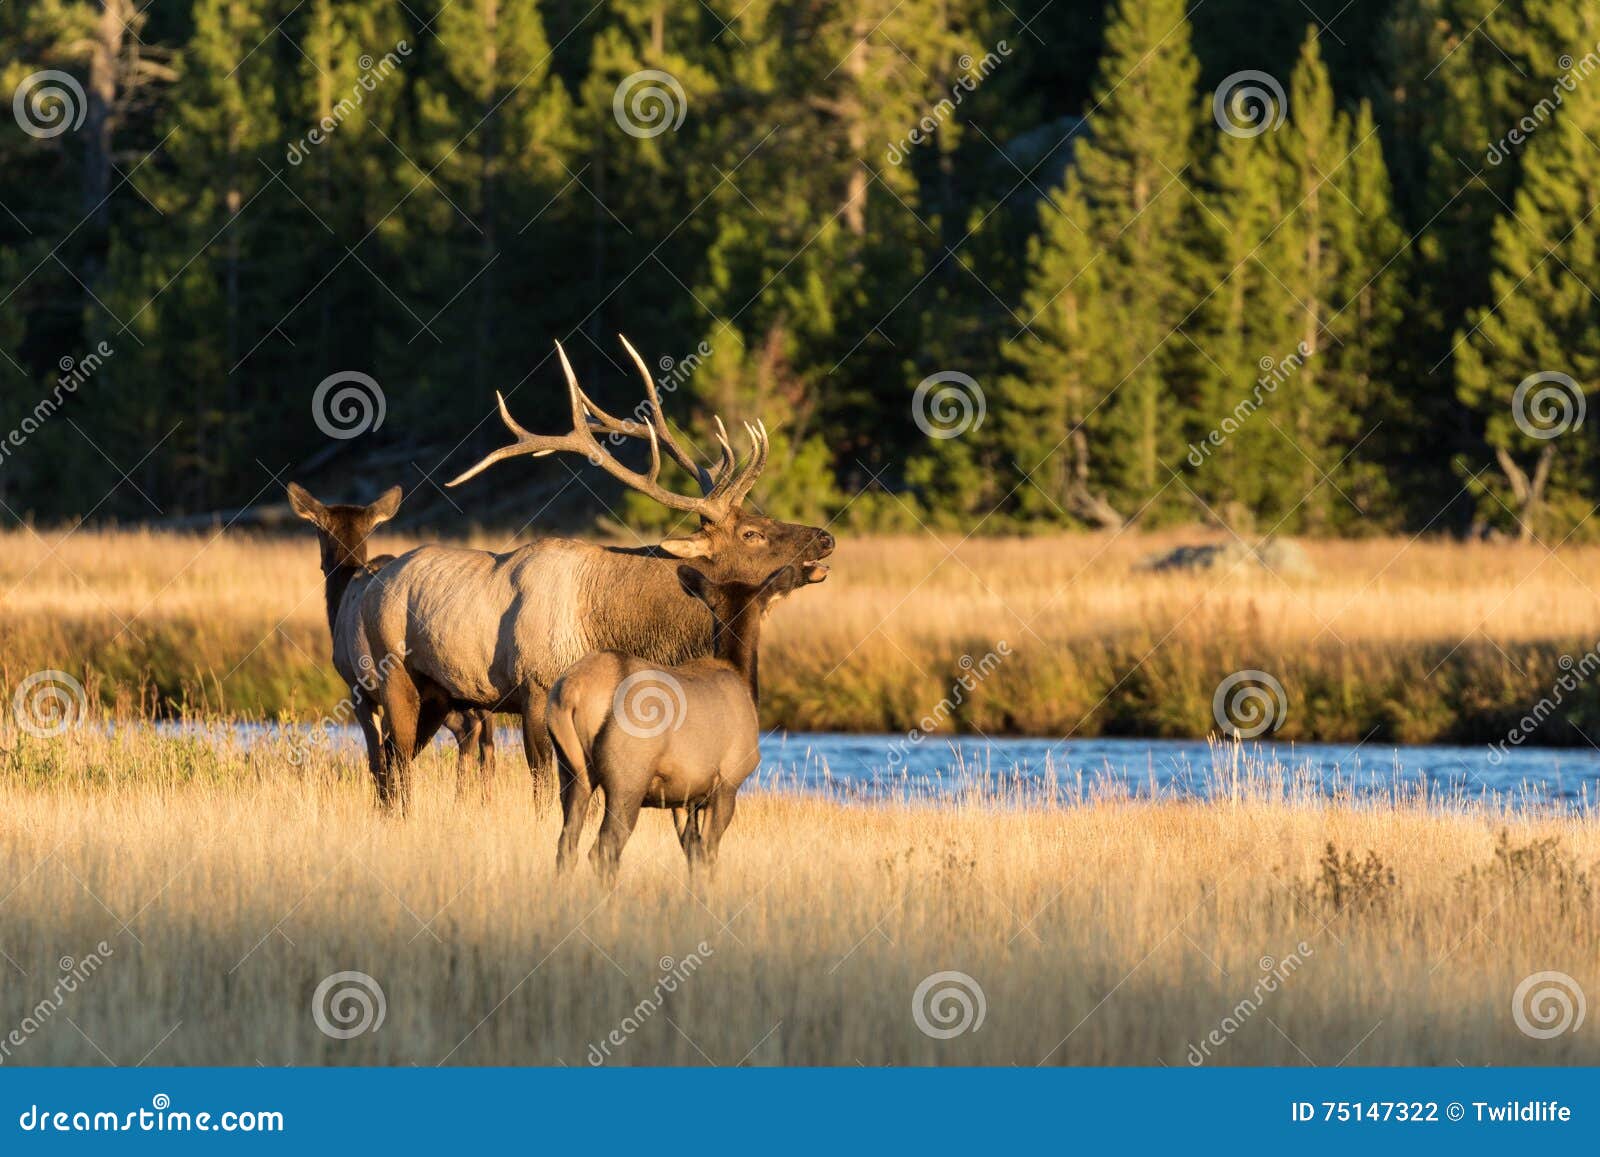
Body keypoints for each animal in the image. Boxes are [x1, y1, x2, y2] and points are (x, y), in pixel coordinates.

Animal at [286, 483, 496, 805]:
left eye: (317, 529)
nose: (321, 564)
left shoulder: (358, 686)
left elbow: (377, 756)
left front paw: (384, 805)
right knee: (483, 736)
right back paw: (474, 799)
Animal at [358, 335, 834, 812]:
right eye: (752, 533)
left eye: (762, 516)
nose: (825, 538)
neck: (614, 622)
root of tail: (370, 586)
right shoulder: (535, 687)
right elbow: (544, 784)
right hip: (396, 673)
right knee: (395, 755)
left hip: (440, 694)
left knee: (394, 755)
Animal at [546, 560, 823, 881]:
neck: (743, 680)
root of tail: (573, 693)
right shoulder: (728, 780)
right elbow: (709, 854)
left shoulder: (682, 797)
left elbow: (693, 855)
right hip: (628, 776)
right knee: (604, 849)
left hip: (571, 770)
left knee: (566, 845)